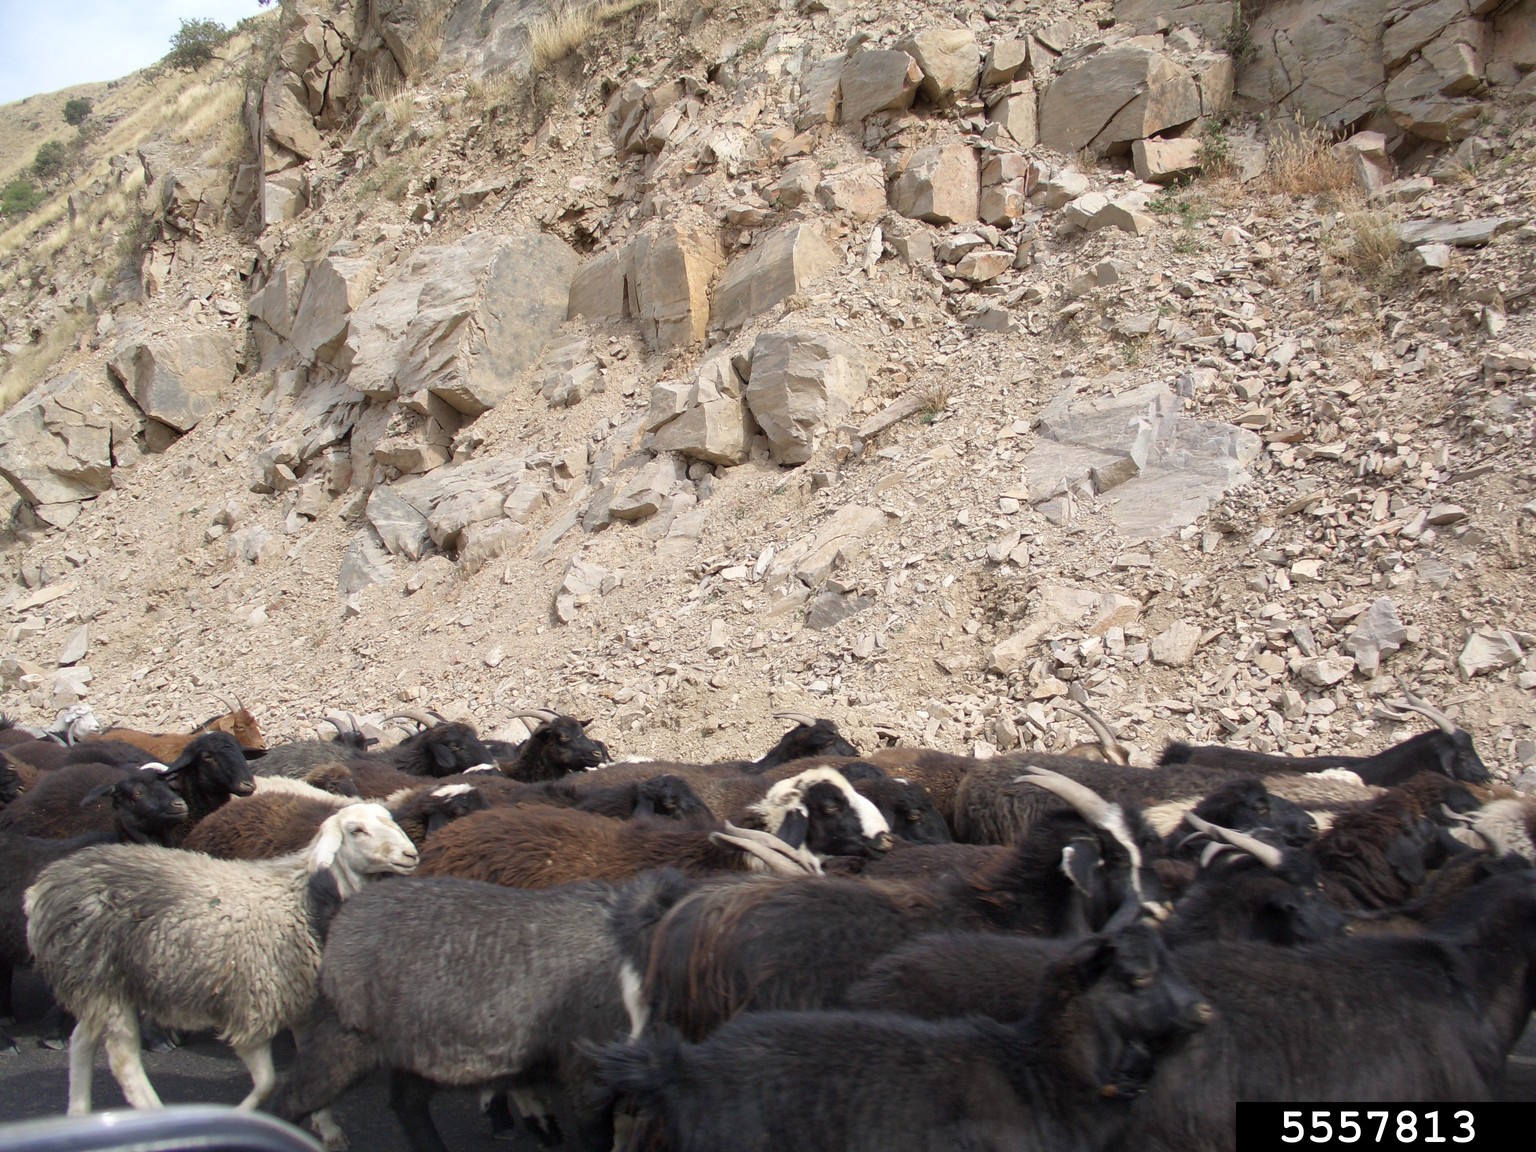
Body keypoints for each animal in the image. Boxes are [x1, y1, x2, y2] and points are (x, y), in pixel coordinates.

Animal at [24, 803, 418, 1115]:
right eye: (356, 831)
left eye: (389, 819)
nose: (411, 855)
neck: (301, 899)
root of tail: (45, 885)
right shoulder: (255, 1007)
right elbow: (267, 1083)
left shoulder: (302, 1008)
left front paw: (326, 1129)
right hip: (103, 981)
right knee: (124, 1063)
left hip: (97, 981)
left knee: (81, 1041)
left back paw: (79, 1113)